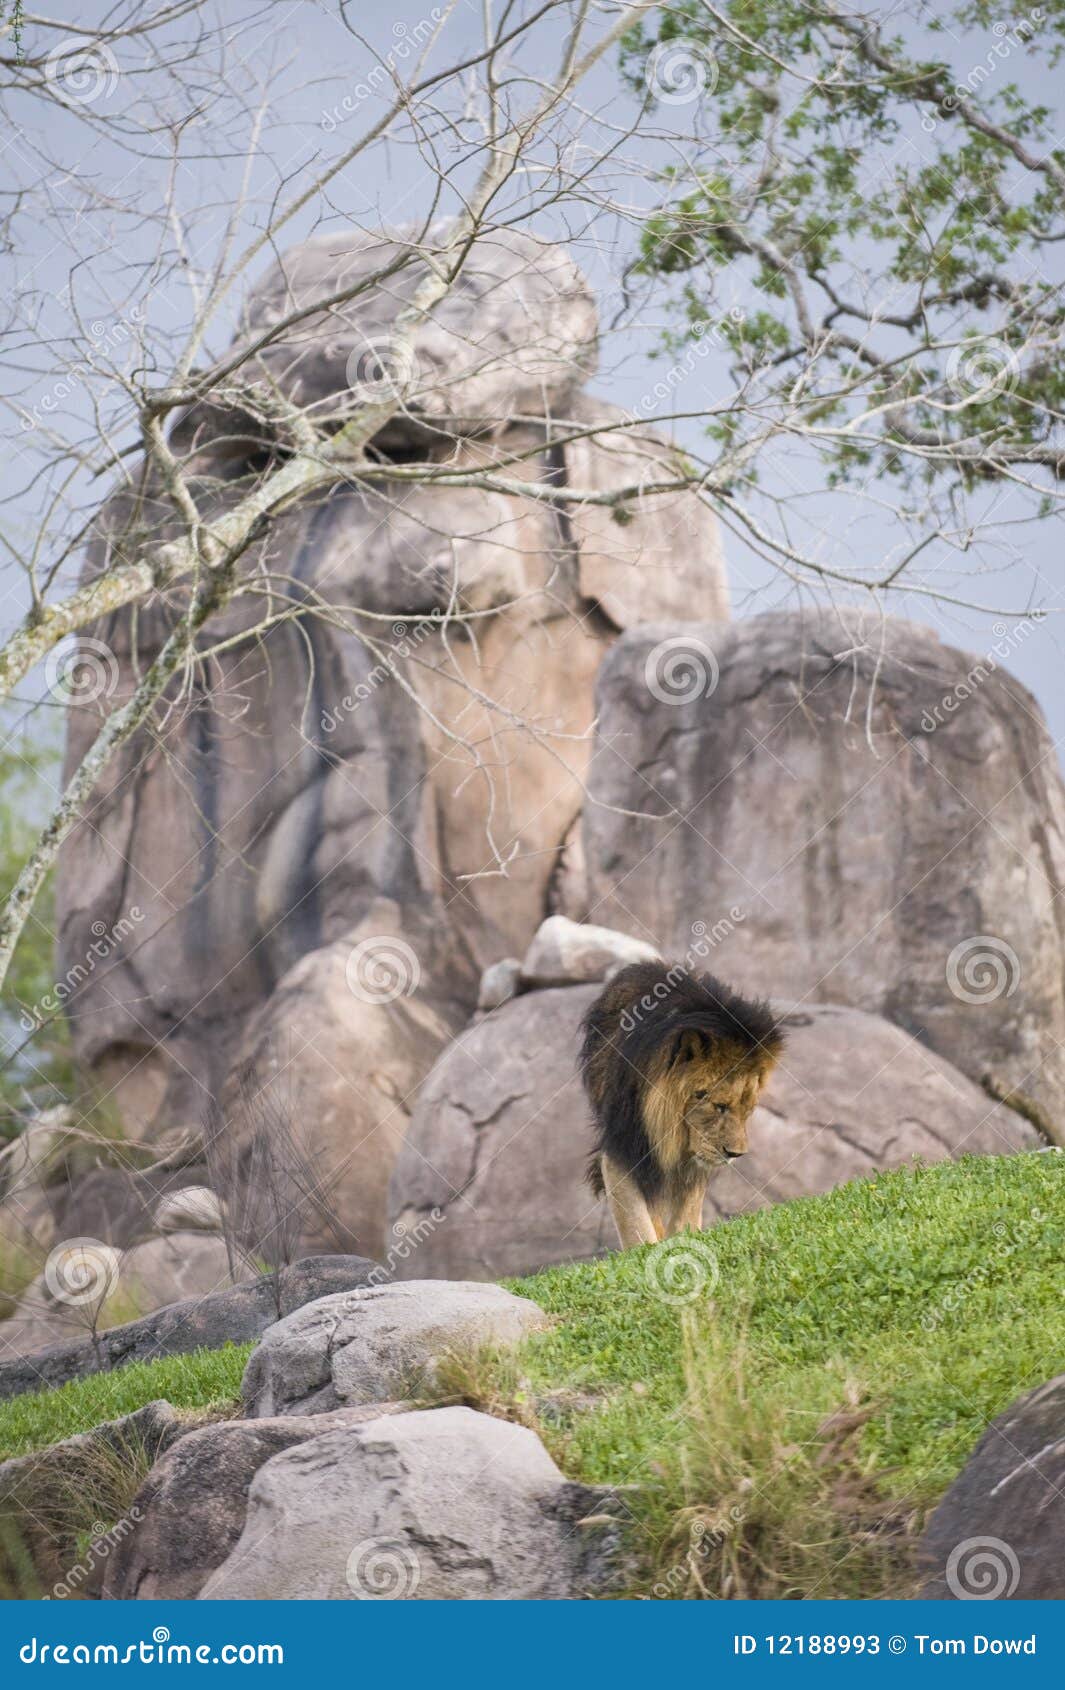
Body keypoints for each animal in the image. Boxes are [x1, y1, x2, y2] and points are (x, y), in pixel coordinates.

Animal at [579, 961, 784, 1249]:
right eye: (719, 1105)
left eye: (749, 1111)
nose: (735, 1154)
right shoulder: (622, 1146)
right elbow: (635, 1222)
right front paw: (646, 1250)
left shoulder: (695, 1161)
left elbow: (686, 1213)